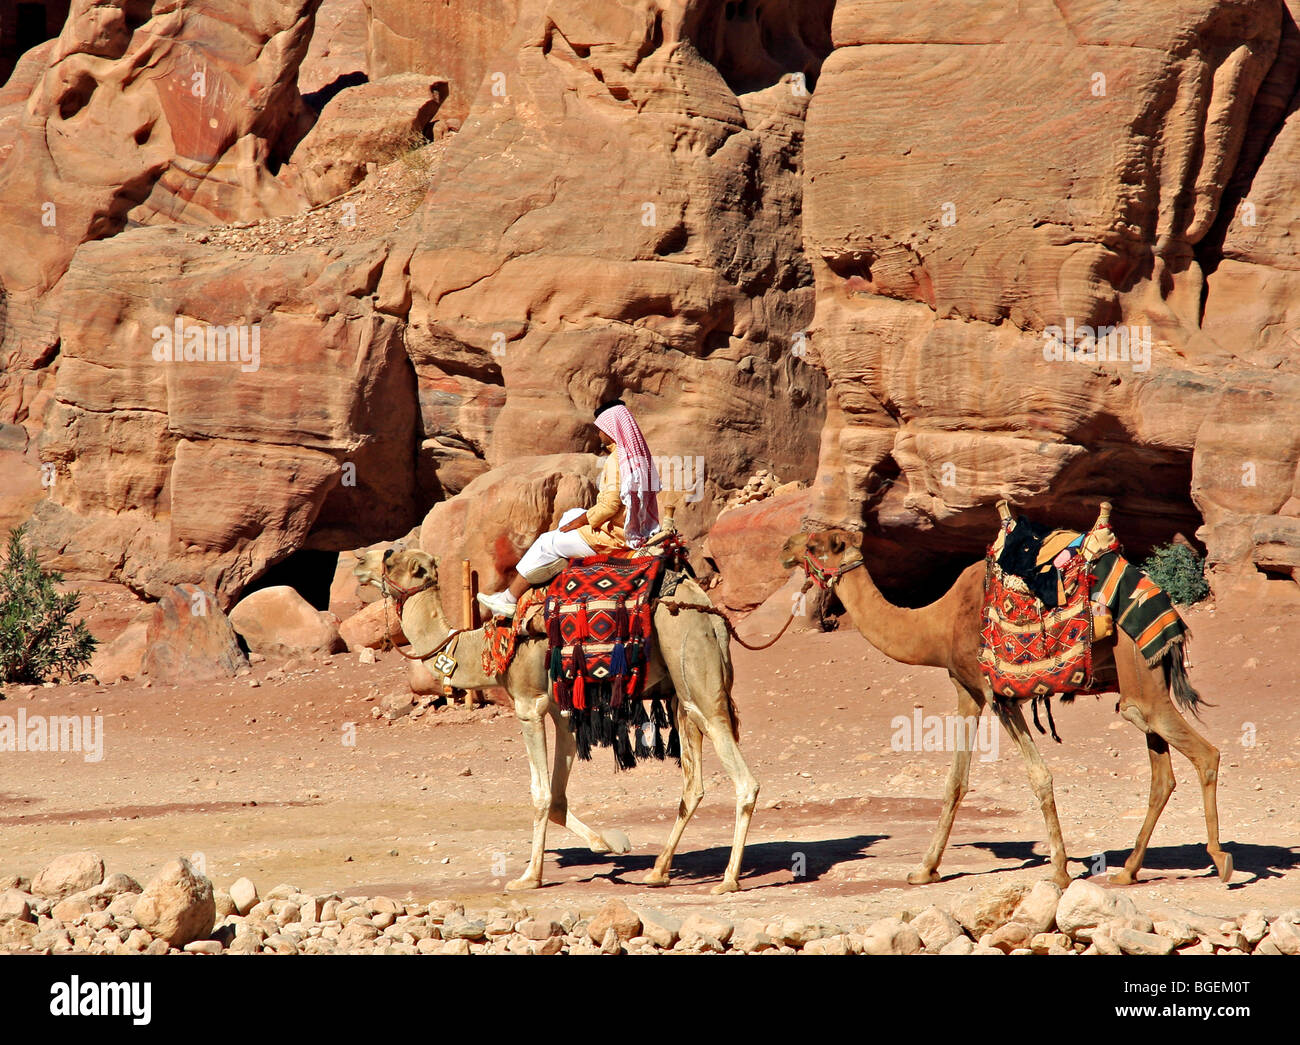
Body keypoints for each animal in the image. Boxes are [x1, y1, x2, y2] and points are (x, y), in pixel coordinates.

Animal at [353, 546, 759, 894]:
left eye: (389, 558)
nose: (358, 561)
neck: (474, 648)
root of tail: (711, 613)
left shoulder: (528, 702)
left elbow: (541, 793)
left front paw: (529, 877)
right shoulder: (561, 710)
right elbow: (559, 797)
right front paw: (606, 844)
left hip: (694, 664)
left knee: (743, 779)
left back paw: (728, 880)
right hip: (682, 693)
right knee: (693, 783)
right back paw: (658, 871)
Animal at [780, 514, 1232, 889]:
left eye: (816, 544)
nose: (785, 546)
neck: (936, 626)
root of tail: (1170, 615)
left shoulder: (996, 695)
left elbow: (1033, 776)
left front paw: (1058, 871)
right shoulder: (967, 690)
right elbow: (957, 781)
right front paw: (926, 869)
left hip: (1139, 672)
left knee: (1204, 754)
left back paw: (1220, 860)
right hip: (1140, 684)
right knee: (1161, 774)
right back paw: (1128, 871)